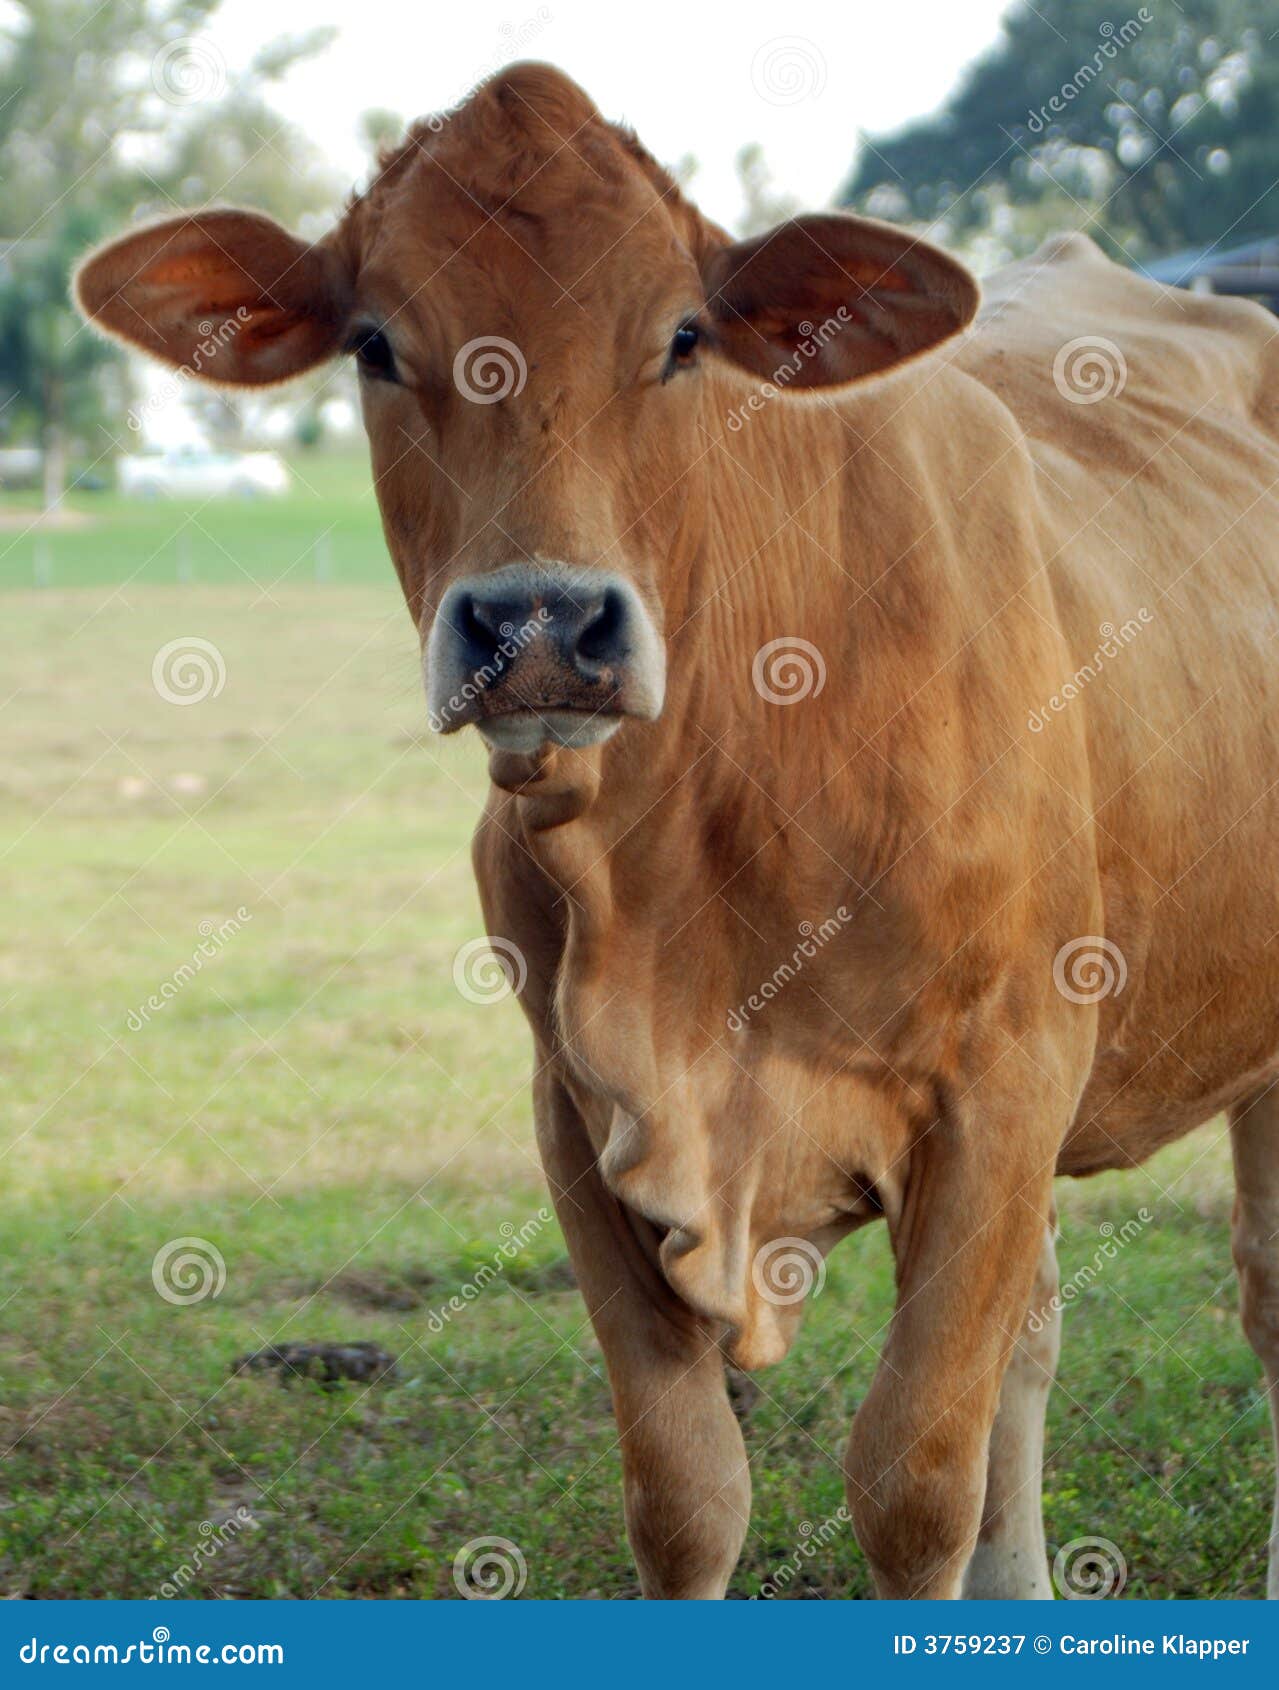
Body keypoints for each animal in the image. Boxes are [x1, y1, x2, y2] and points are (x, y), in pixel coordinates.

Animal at [75, 62, 1279, 1601]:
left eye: (684, 336)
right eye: (375, 343)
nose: (538, 623)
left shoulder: (1005, 1075)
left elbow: (911, 1482)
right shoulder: (576, 1110)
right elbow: (686, 1488)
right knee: (1036, 1331)